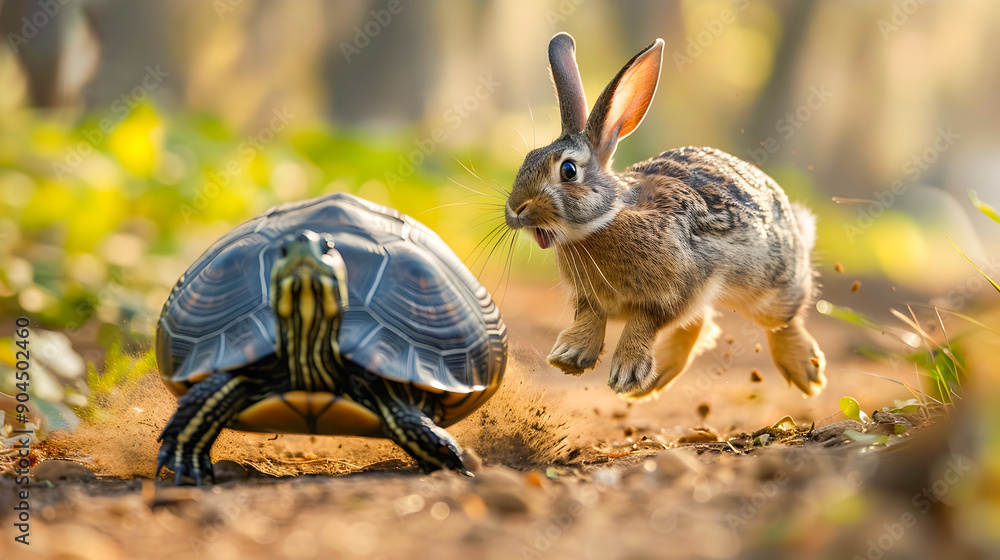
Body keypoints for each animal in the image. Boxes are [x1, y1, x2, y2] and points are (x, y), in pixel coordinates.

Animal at [504, 32, 826, 399]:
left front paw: (626, 372)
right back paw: (658, 378)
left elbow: (645, 323)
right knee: (701, 322)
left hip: (770, 288)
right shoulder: (588, 298)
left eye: (568, 171)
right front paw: (569, 356)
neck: (607, 219)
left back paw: (806, 373)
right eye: (528, 158)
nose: (515, 208)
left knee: (783, 320)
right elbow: (589, 317)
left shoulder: (679, 288)